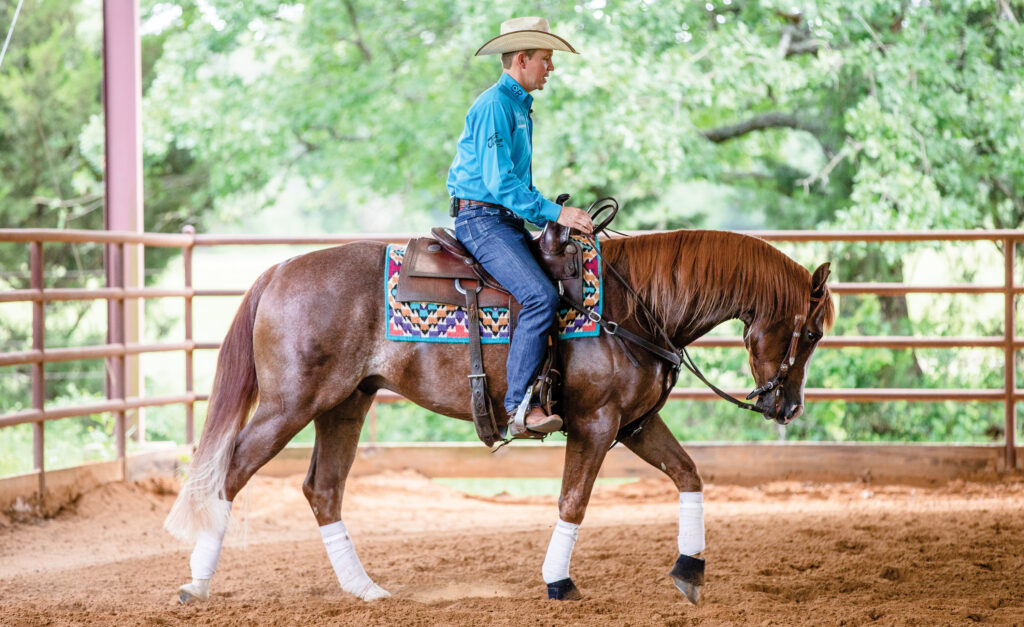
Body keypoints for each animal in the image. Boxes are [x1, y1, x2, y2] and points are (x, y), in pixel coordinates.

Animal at [164, 228, 835, 604]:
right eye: (810, 333)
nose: (787, 405)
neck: (634, 305)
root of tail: (279, 269)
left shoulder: (636, 425)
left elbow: (690, 476)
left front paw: (689, 570)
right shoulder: (596, 425)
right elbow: (573, 502)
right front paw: (558, 583)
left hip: (345, 404)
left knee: (323, 489)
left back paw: (363, 589)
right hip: (289, 405)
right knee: (228, 474)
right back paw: (196, 584)